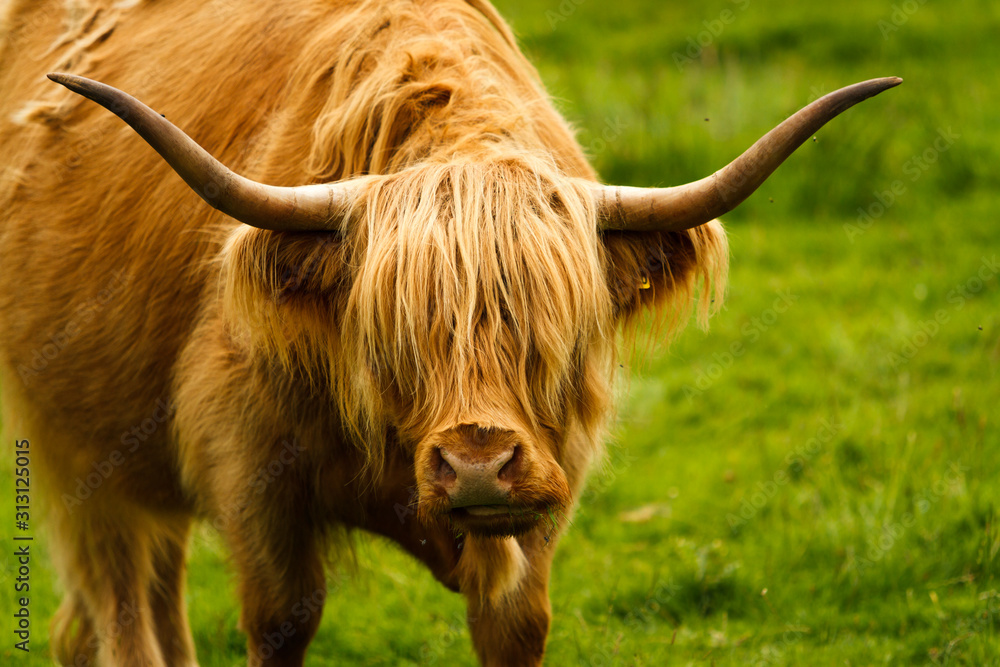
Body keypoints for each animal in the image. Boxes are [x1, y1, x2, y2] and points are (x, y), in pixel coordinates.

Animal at [0, 1, 898, 665]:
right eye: (398, 331)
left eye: (549, 327)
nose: (476, 465)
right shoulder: (249, 469)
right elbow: (284, 619)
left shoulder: (547, 485)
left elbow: (515, 625)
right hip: (83, 452)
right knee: (121, 607)